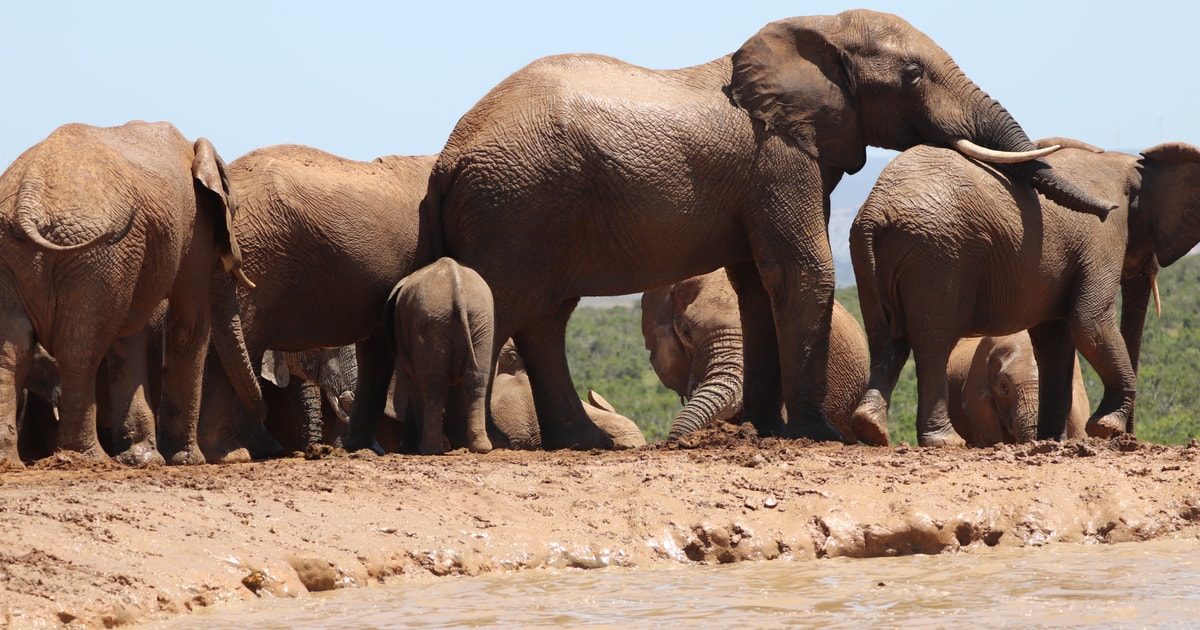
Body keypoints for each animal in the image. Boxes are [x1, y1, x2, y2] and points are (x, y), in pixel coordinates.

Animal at [0, 121, 257, 468]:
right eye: (236, 209)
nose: (243, 454)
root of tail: (29, 197)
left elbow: (130, 331)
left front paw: (142, 459)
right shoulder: (194, 227)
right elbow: (188, 326)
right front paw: (187, 460)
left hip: (22, 252)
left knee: (13, 348)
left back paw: (10, 462)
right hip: (94, 253)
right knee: (80, 348)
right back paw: (88, 458)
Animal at [386, 257, 494, 455]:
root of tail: (458, 292)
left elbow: (413, 380)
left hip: (434, 322)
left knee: (432, 384)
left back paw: (430, 449)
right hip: (478, 320)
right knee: (475, 379)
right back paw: (480, 447)